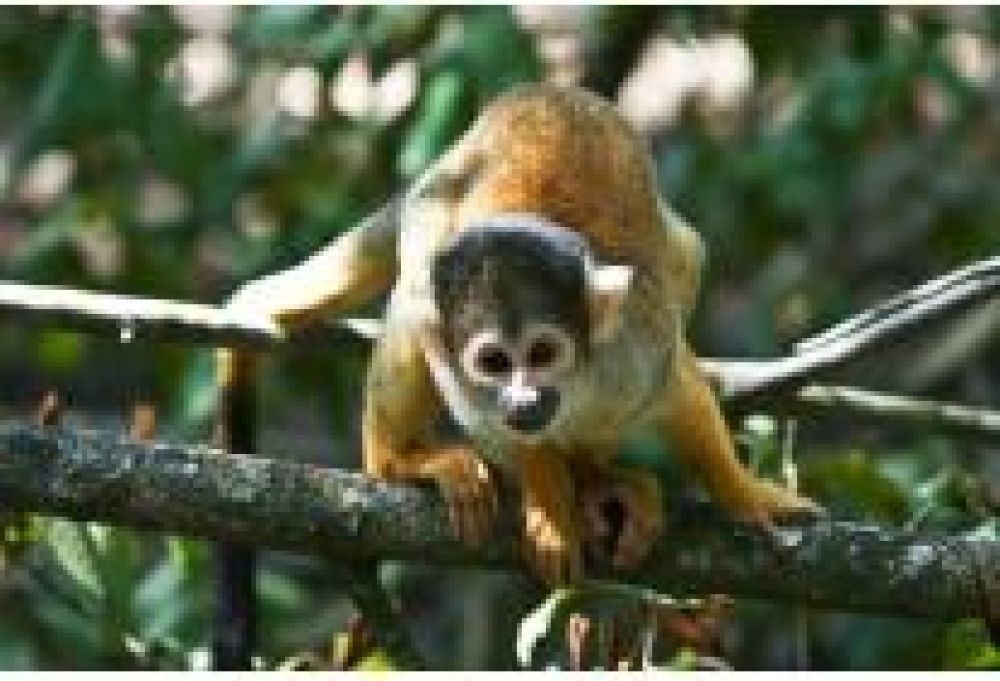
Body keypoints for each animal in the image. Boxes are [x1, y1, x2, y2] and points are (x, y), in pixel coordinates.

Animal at [219, 84, 819, 585]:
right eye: (495, 364)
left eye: (543, 352)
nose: (524, 398)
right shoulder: (467, 382)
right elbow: (502, 432)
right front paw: (549, 496)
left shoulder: (635, 352)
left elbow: (679, 389)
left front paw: (745, 495)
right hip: (429, 214)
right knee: (412, 302)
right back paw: (400, 462)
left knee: (686, 254)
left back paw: (598, 474)